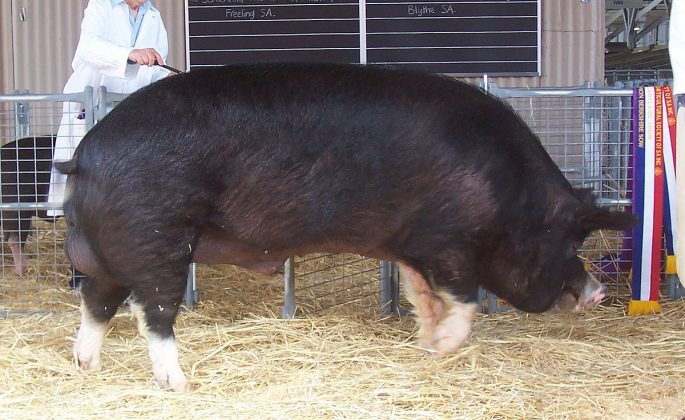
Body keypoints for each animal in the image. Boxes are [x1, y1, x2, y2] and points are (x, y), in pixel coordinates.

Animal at [55, 63, 636, 392]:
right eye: (570, 237)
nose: (599, 292)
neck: (510, 193)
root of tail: (87, 156)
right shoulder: (449, 241)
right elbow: (465, 298)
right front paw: (446, 347)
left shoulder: (412, 244)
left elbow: (421, 293)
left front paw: (425, 342)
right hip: (157, 237)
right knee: (150, 312)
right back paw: (180, 385)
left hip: (107, 253)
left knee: (96, 304)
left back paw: (87, 368)